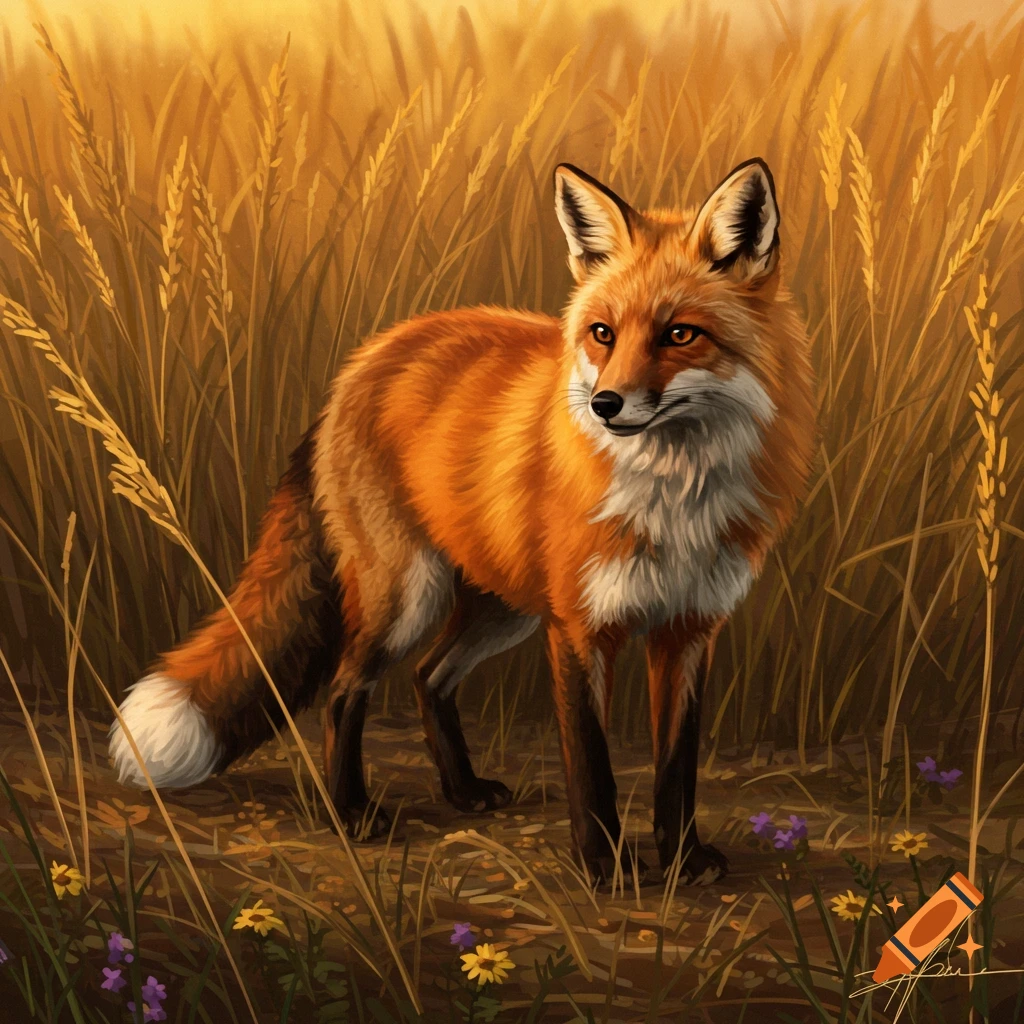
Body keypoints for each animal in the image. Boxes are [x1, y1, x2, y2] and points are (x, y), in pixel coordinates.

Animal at [109, 157, 816, 883]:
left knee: (429, 676)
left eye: (680, 334)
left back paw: (462, 789)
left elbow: (677, 766)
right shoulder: (579, 629)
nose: (604, 404)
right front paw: (603, 867)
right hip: (410, 596)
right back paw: (351, 812)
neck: (674, 496)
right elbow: (592, 765)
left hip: (502, 608)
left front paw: (682, 861)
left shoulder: (688, 628)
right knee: (343, 689)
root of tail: (359, 365)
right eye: (603, 334)